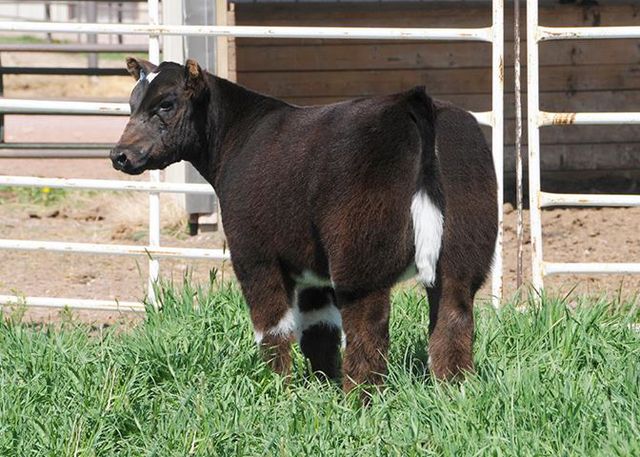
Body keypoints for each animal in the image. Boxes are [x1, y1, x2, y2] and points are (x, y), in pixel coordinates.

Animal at [111, 57, 498, 393]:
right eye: (132, 103)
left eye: (166, 104)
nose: (119, 155)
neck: (236, 138)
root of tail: (412, 101)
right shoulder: (313, 267)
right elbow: (319, 331)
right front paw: (321, 384)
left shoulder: (254, 255)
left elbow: (273, 329)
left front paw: (277, 389)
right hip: (462, 253)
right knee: (453, 319)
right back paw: (453, 391)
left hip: (359, 260)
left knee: (367, 329)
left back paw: (358, 400)